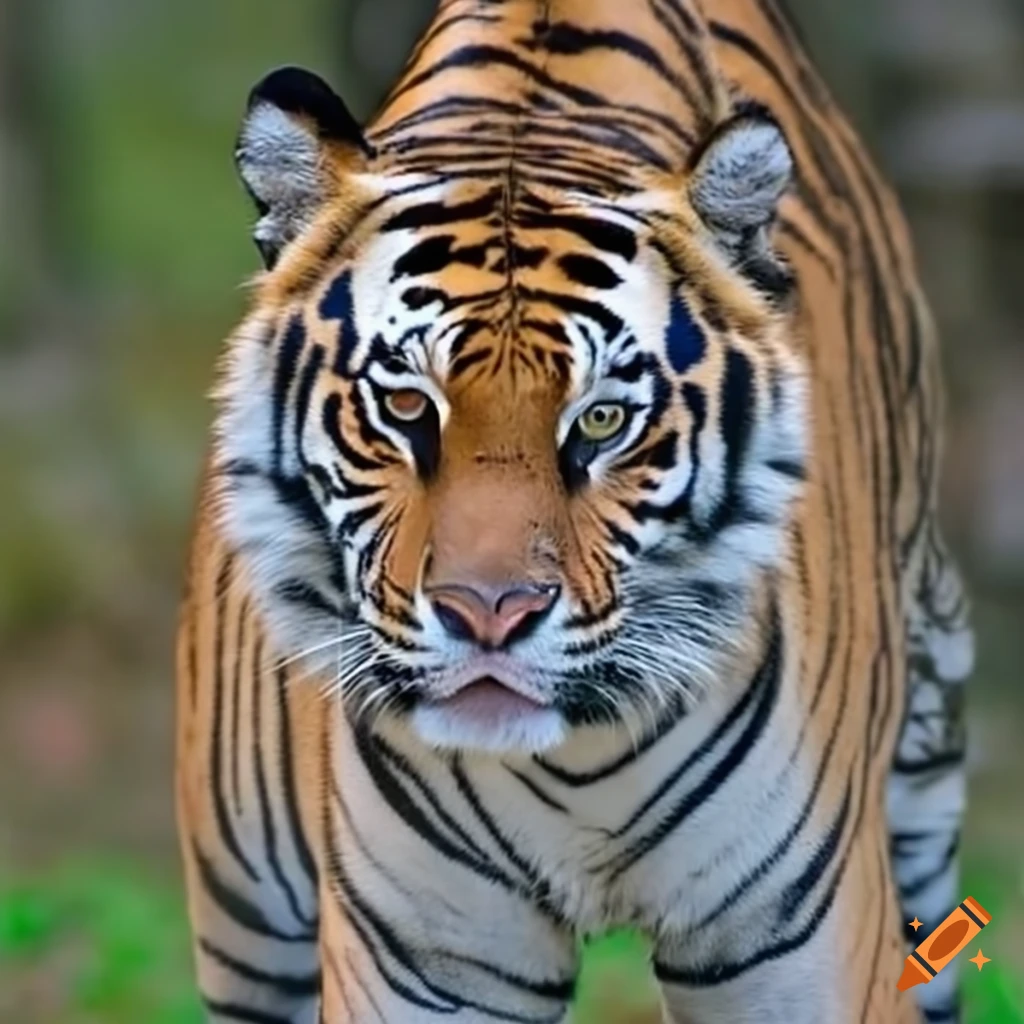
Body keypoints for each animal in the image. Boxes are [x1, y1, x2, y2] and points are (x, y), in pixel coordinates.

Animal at [174, 1, 975, 1022]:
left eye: (600, 420)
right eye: (406, 408)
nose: (490, 615)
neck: (575, 764)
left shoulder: (802, 945)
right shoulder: (421, 963)